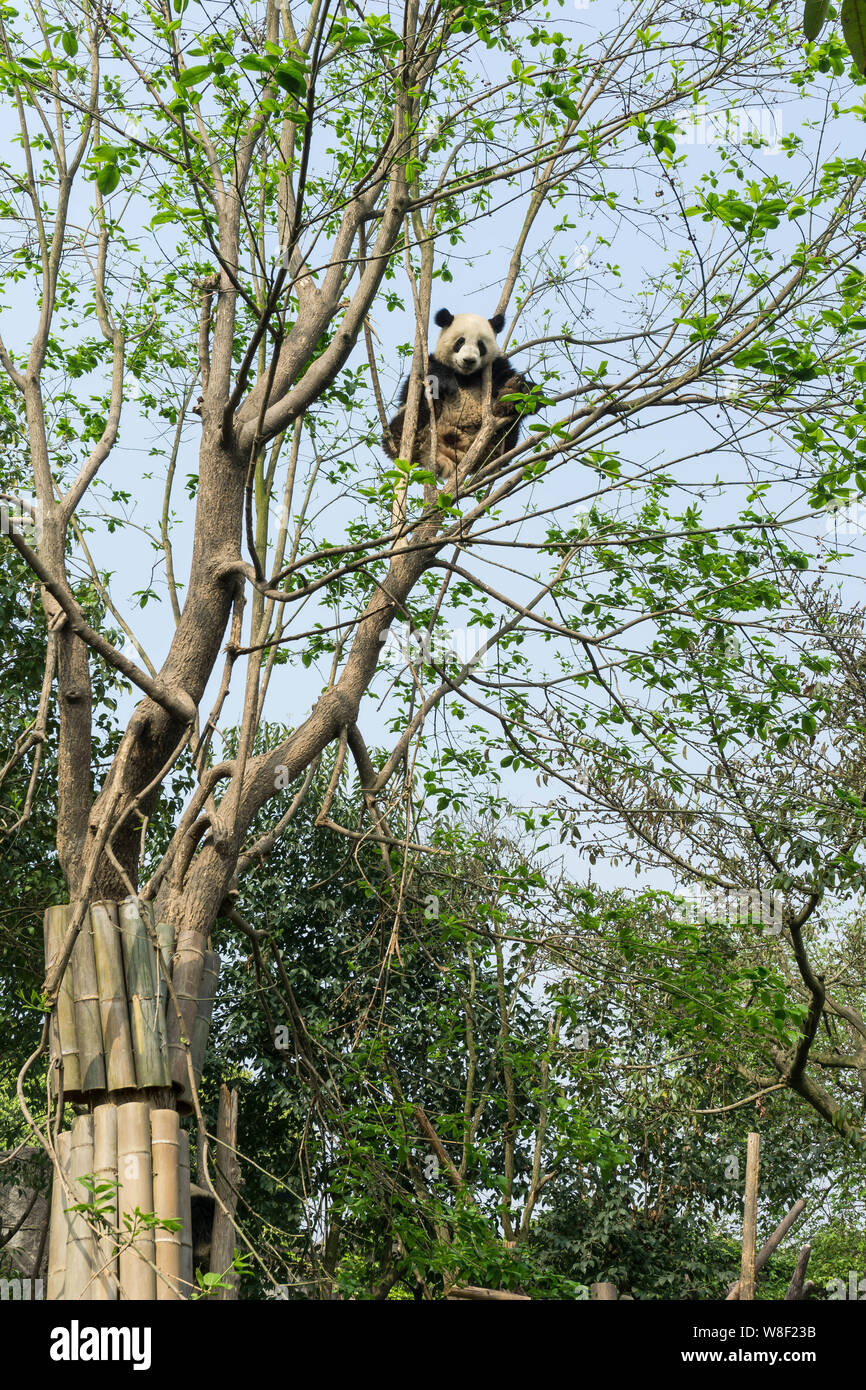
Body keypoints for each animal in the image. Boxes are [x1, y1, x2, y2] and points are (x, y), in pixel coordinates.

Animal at [383, 309, 534, 480]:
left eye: (481, 345)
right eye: (460, 342)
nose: (468, 360)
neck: (465, 375)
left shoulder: (495, 367)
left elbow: (508, 376)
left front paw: (524, 391)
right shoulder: (428, 363)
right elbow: (416, 383)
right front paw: (446, 384)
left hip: (498, 444)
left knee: (509, 434)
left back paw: (507, 399)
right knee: (399, 430)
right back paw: (428, 408)